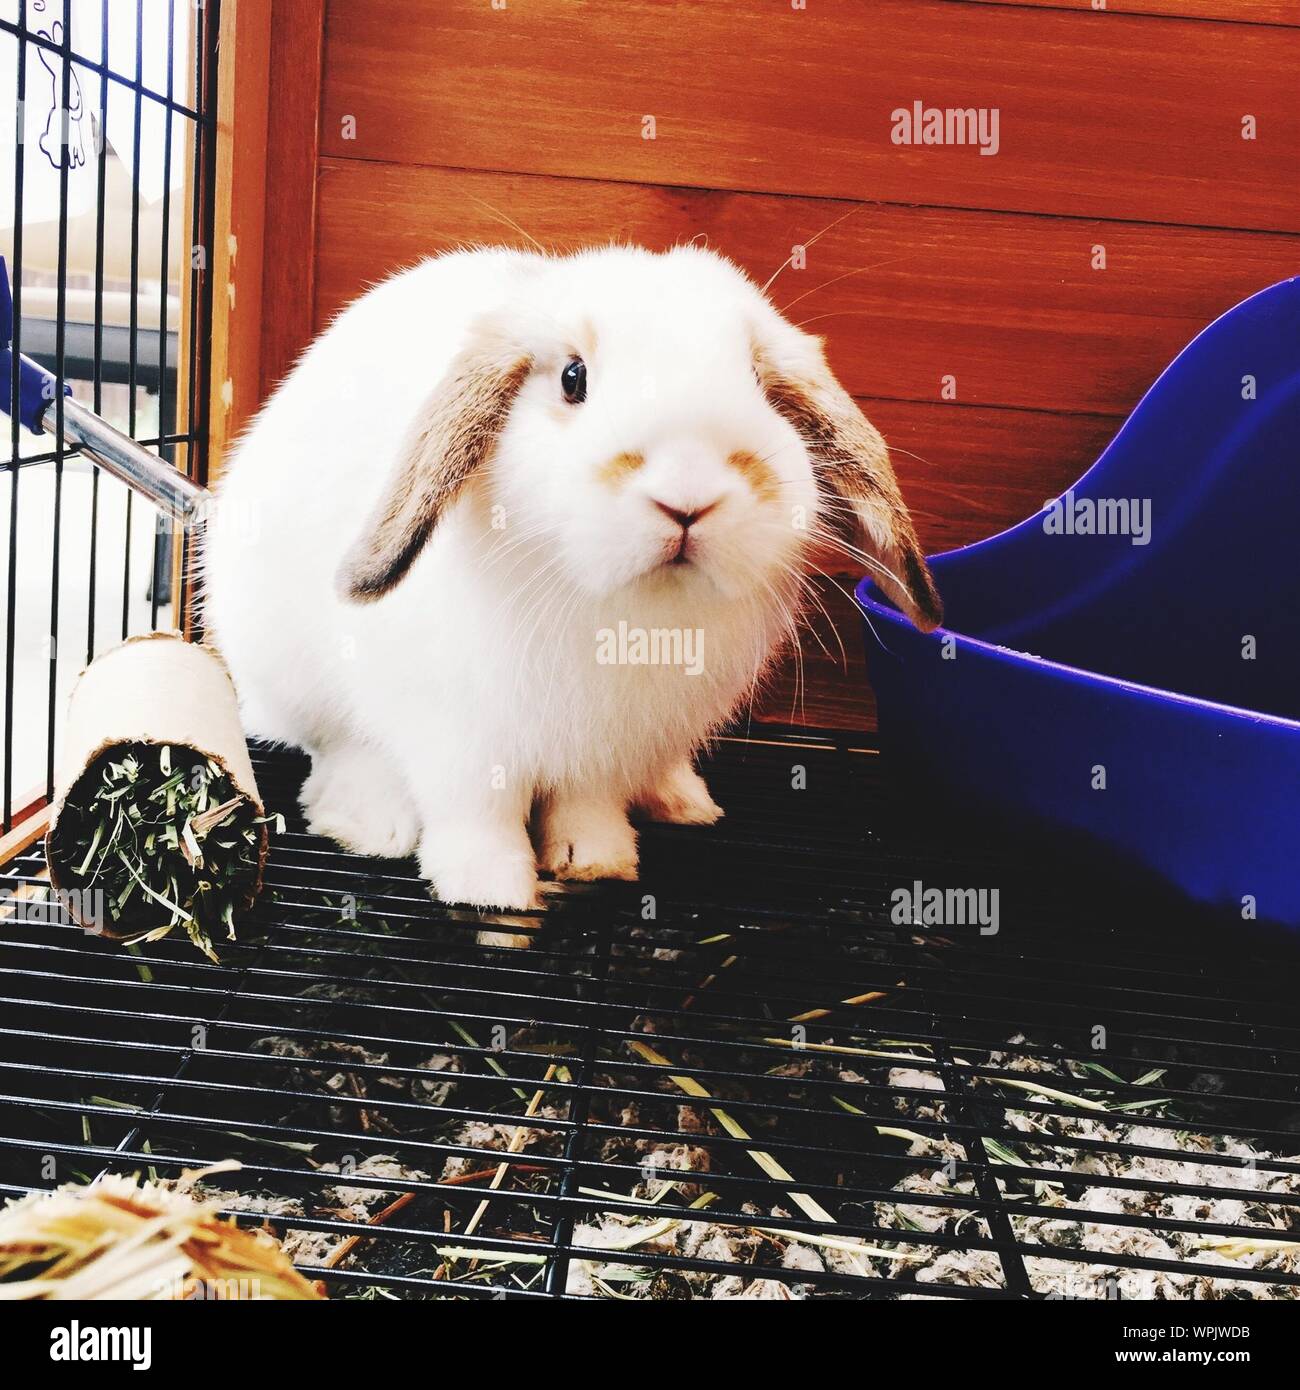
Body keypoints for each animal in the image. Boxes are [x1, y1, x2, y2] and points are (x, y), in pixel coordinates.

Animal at [200, 244, 940, 937]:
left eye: (759, 381)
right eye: (572, 378)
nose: (689, 497)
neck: (625, 614)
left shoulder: (603, 751)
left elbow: (588, 804)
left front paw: (596, 858)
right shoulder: (459, 737)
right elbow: (477, 814)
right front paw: (492, 888)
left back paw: (682, 799)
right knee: (336, 748)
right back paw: (371, 821)